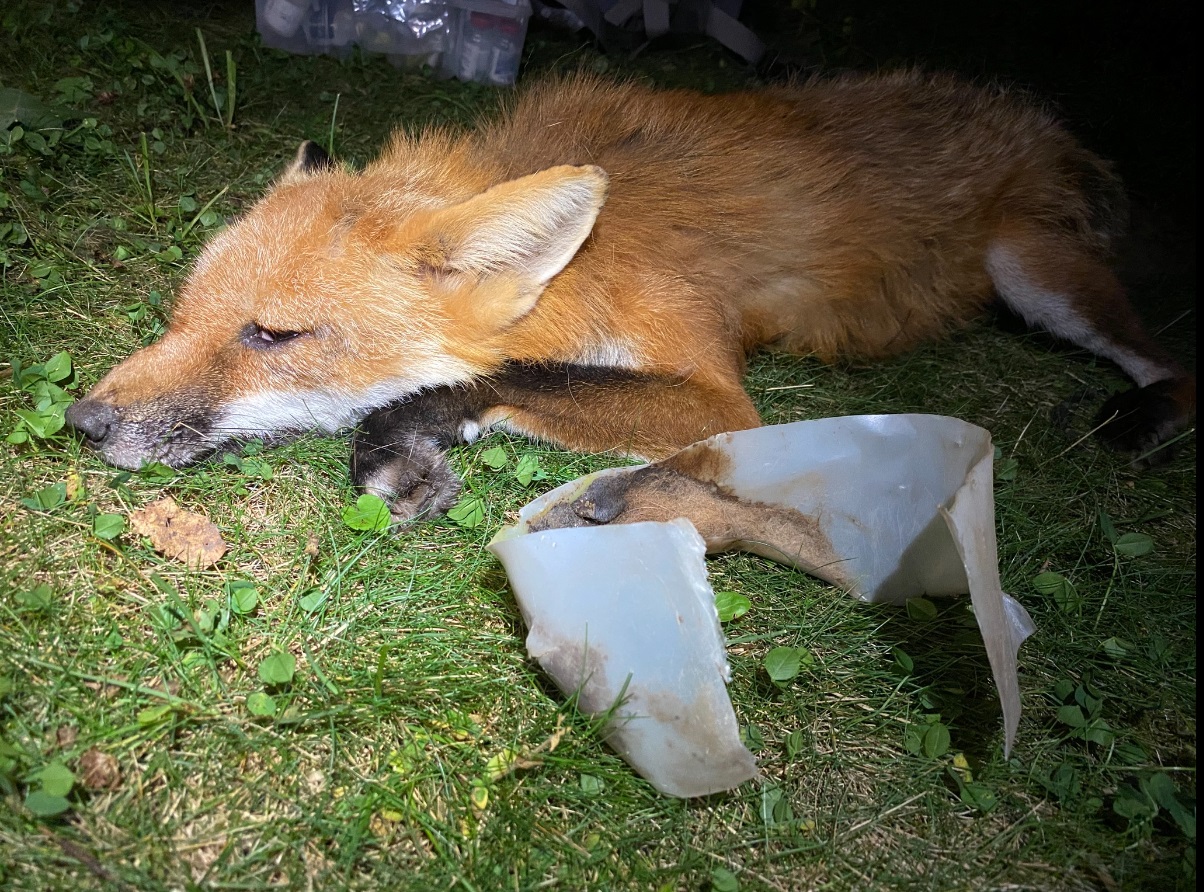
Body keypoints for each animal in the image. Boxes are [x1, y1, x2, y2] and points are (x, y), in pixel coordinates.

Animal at [66, 71, 1195, 521]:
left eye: (272, 334)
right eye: (181, 313)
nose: (82, 423)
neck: (595, 263)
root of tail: (1026, 114)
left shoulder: (714, 394)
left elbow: (513, 377)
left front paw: (402, 440)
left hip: (1029, 274)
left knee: (1173, 361)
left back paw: (1147, 418)